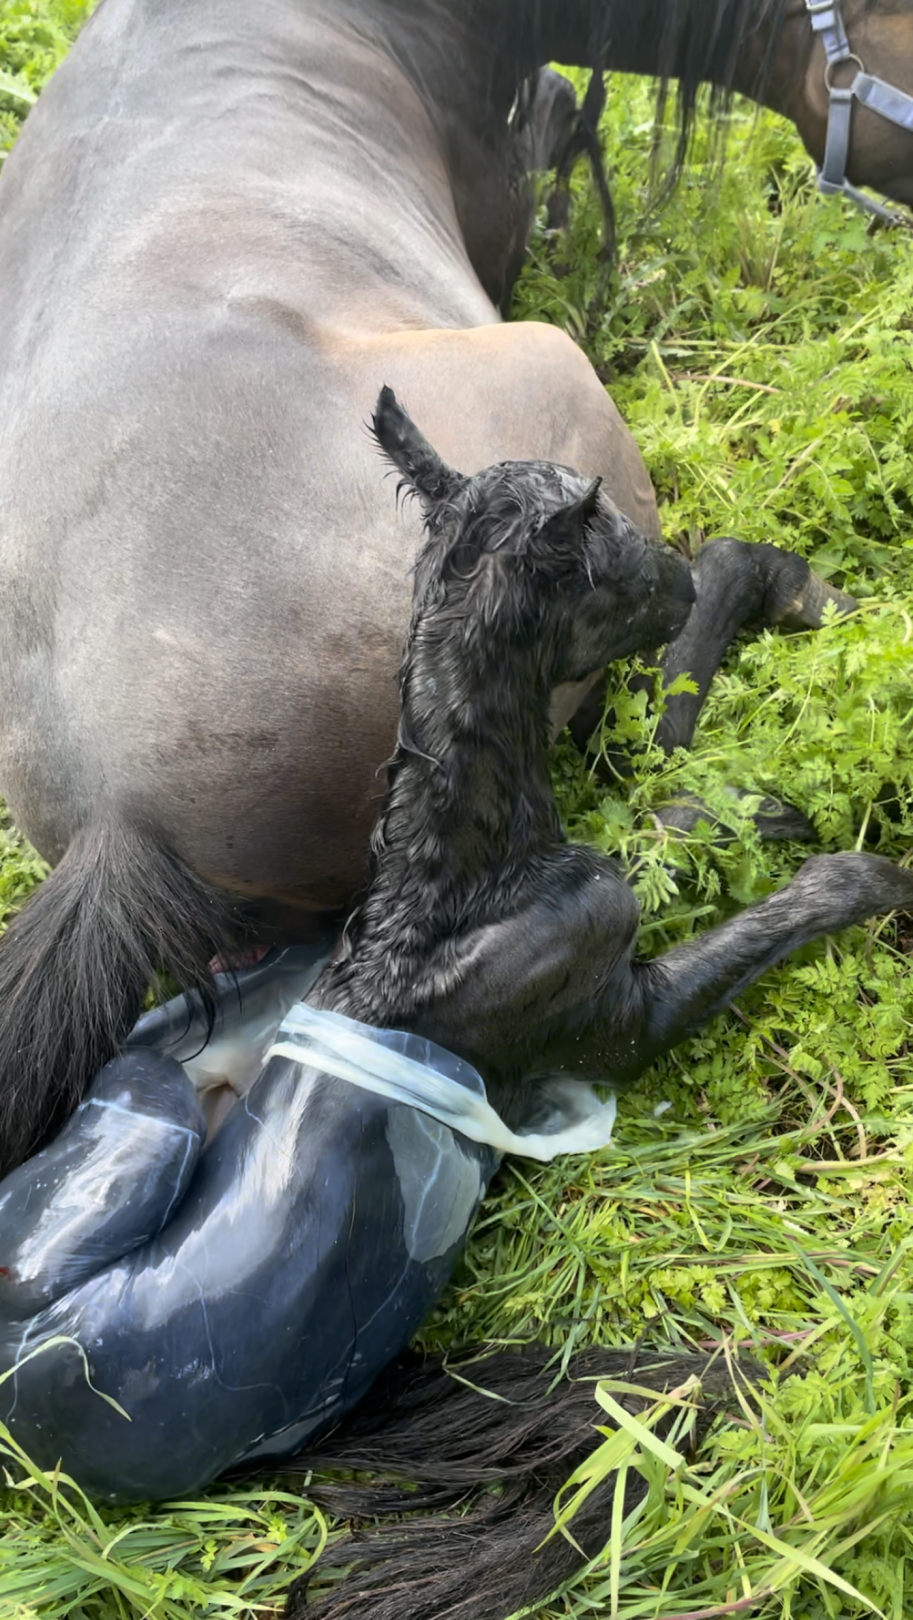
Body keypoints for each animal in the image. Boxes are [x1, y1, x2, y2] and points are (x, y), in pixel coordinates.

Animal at [3, 392, 911, 1620]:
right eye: (607, 554)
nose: (674, 577)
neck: (453, 884)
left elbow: (681, 784)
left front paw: (775, 604)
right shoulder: (620, 1012)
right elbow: (750, 891)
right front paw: (867, 868)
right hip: (136, 1125)